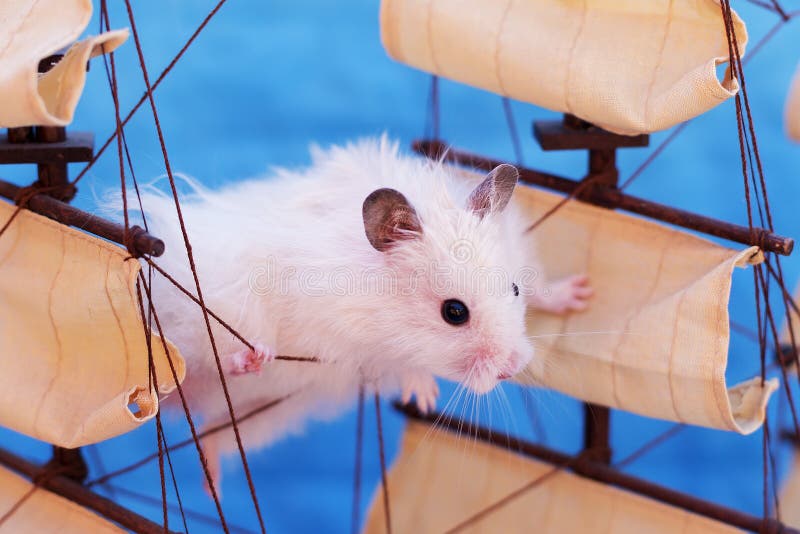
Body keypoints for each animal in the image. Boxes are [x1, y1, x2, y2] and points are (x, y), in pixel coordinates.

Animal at [135, 136, 592, 490]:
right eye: (454, 312)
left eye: (513, 289)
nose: (512, 368)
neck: (387, 309)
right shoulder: (347, 336)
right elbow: (398, 363)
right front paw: (424, 396)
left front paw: (579, 295)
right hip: (201, 328)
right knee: (209, 358)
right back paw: (252, 357)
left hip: (270, 412)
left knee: (213, 436)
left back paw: (212, 482)